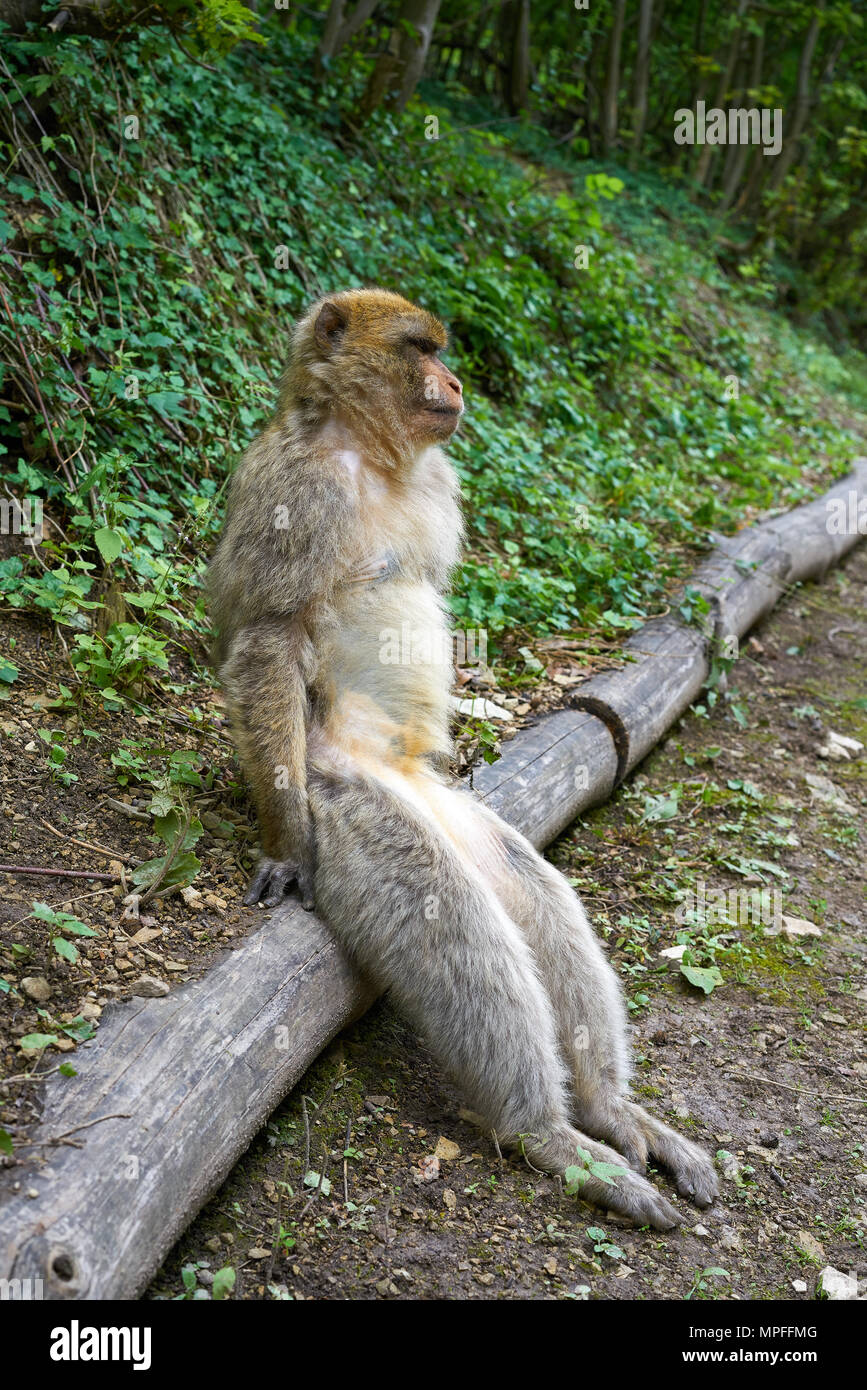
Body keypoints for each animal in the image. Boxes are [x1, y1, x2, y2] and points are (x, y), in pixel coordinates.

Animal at [207, 287, 719, 1230]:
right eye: (421, 348)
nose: (452, 381)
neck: (369, 457)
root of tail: (397, 779)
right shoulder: (296, 489)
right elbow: (267, 637)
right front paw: (285, 843)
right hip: (356, 800)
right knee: (448, 909)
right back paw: (546, 1135)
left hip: (441, 804)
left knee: (531, 889)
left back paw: (610, 1110)